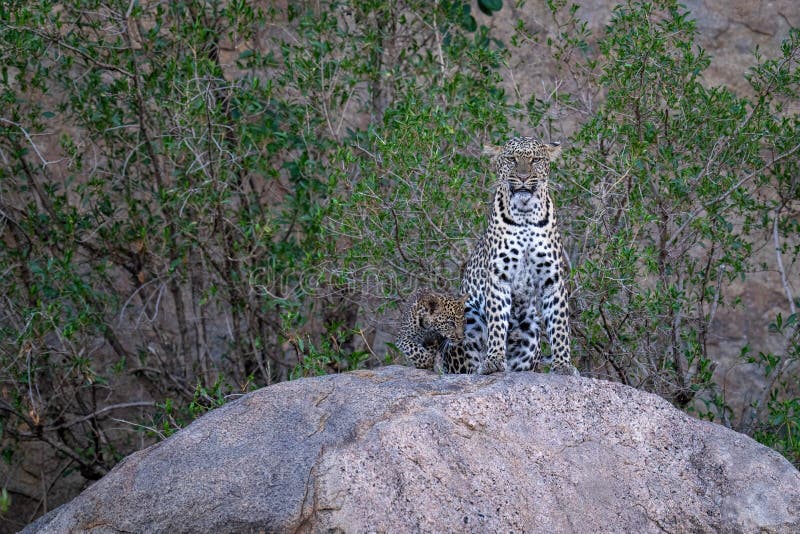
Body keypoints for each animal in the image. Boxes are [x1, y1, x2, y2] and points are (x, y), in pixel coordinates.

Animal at [445, 136, 579, 376]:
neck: (525, 214)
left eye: (536, 160)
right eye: (511, 159)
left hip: (531, 332)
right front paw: (494, 360)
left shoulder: (552, 279)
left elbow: (560, 324)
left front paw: (563, 365)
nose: (523, 177)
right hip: (468, 320)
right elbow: (497, 321)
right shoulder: (499, 276)